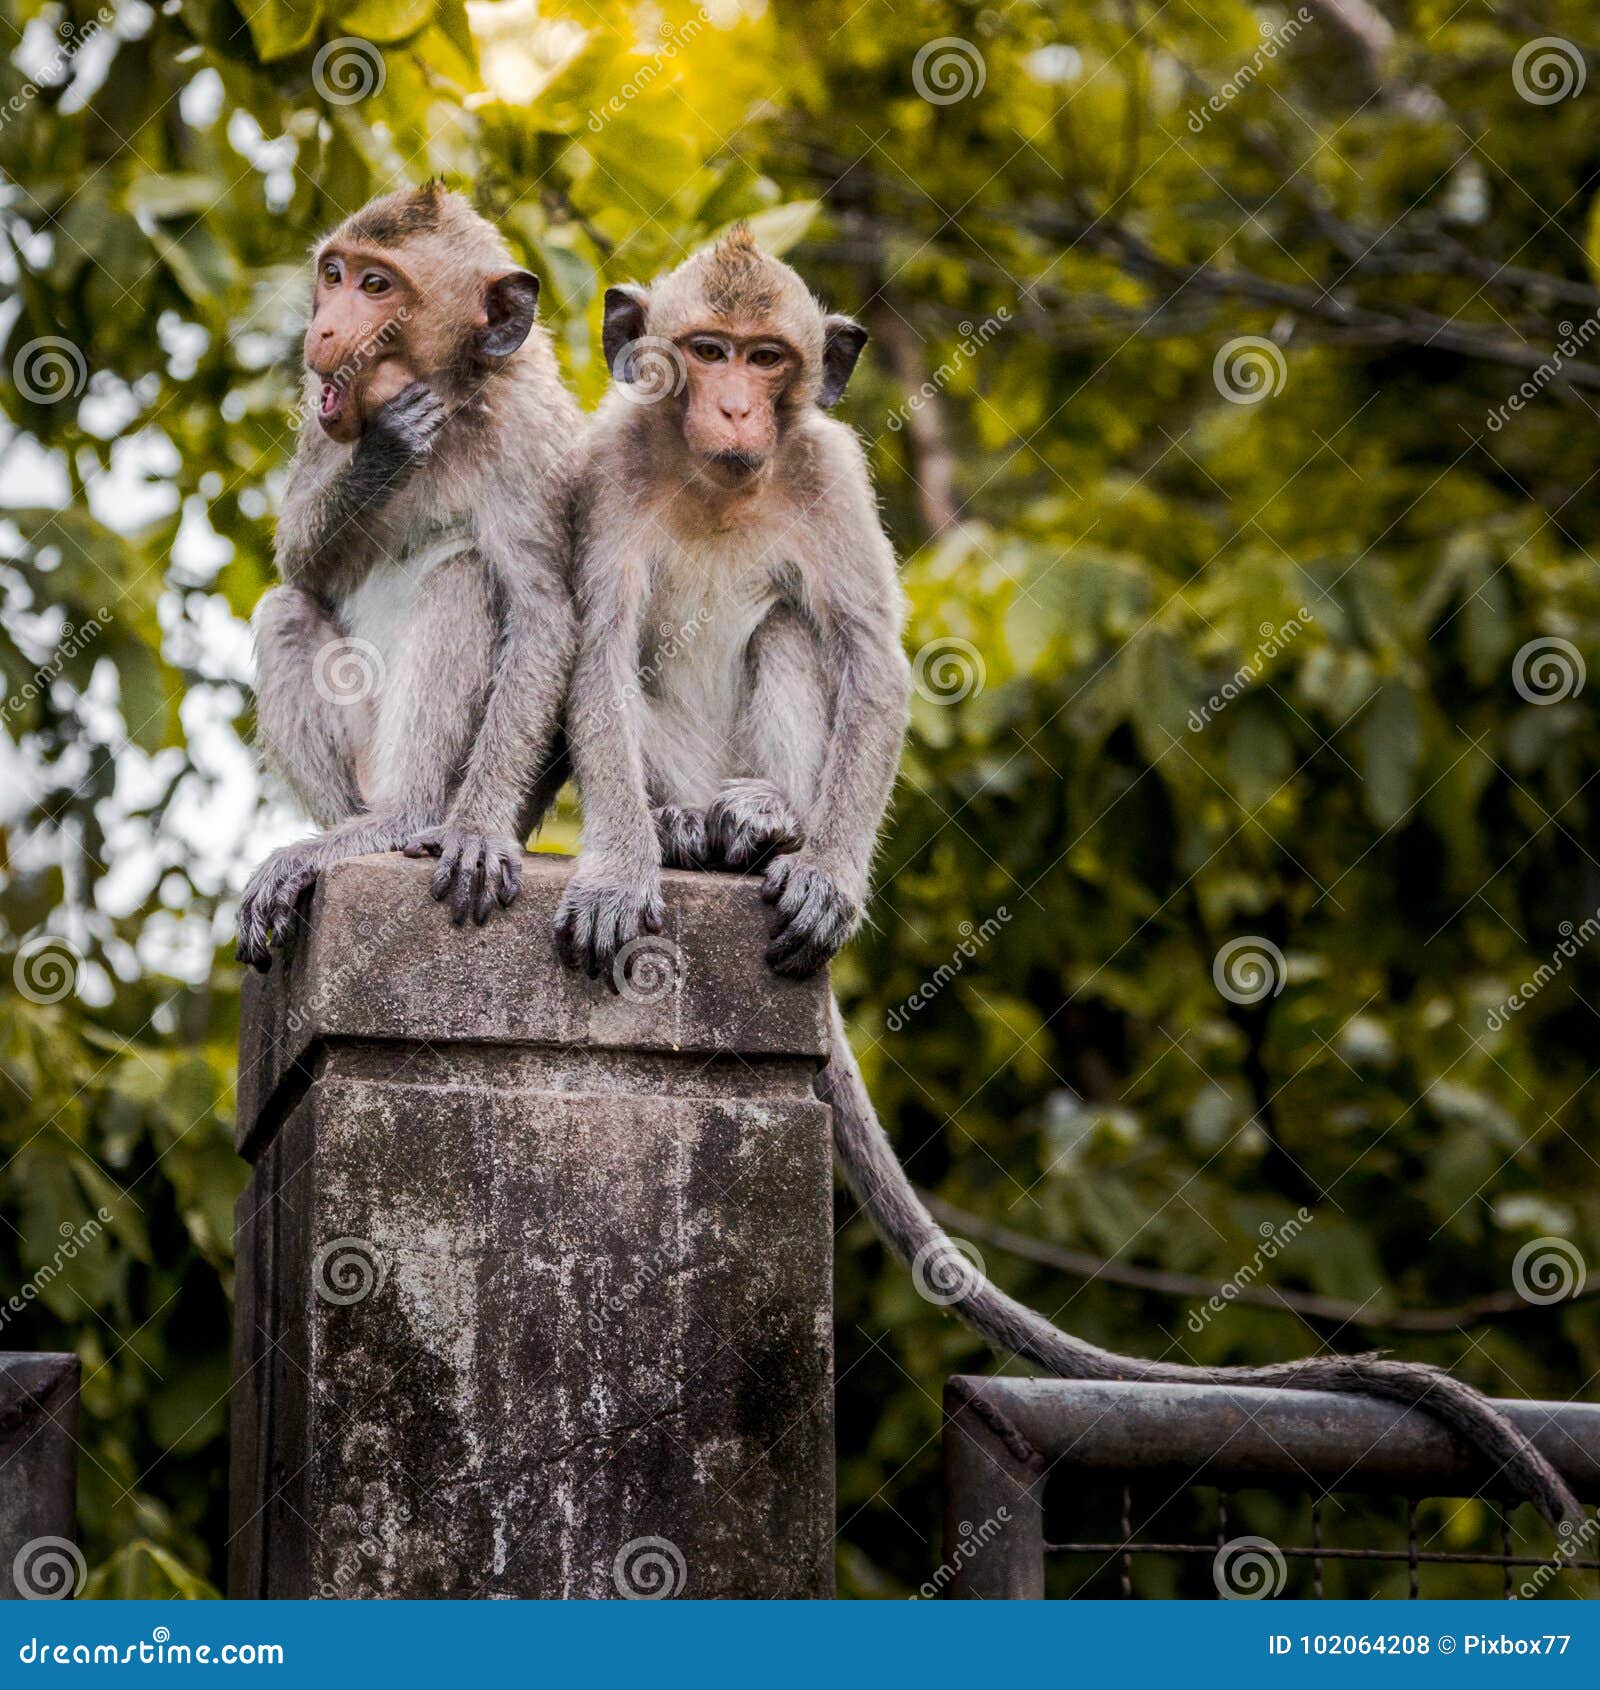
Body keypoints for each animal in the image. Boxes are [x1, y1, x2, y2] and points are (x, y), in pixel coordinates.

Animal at [235, 184, 579, 969]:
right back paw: (344, 838)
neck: (453, 402)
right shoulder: (320, 413)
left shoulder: (532, 438)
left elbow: (543, 613)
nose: (324, 329)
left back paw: (404, 819)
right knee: (286, 609)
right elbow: (300, 562)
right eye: (334, 275)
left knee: (463, 573)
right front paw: (387, 448)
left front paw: (478, 831)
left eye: (376, 286)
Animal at [552, 226, 1586, 1534]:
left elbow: (871, 656)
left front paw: (829, 877)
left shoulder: (828, 470)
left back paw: (766, 828)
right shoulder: (609, 465)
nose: (736, 406)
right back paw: (684, 831)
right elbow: (592, 646)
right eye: (705, 351)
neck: (716, 479)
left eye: (765, 357)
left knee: (795, 631)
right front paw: (620, 863)